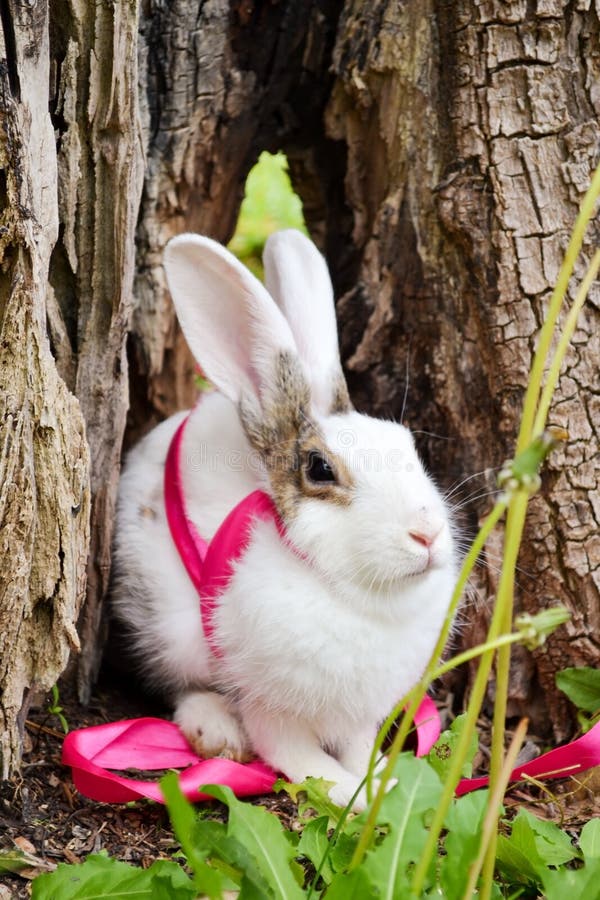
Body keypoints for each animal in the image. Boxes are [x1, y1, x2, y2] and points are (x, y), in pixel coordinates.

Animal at [111, 229, 457, 809]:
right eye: (320, 469)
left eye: (407, 445)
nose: (427, 534)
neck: (358, 598)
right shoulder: (271, 708)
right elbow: (298, 757)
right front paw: (353, 793)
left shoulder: (360, 715)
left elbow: (359, 747)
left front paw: (379, 778)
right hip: (168, 627)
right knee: (178, 682)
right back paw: (214, 729)